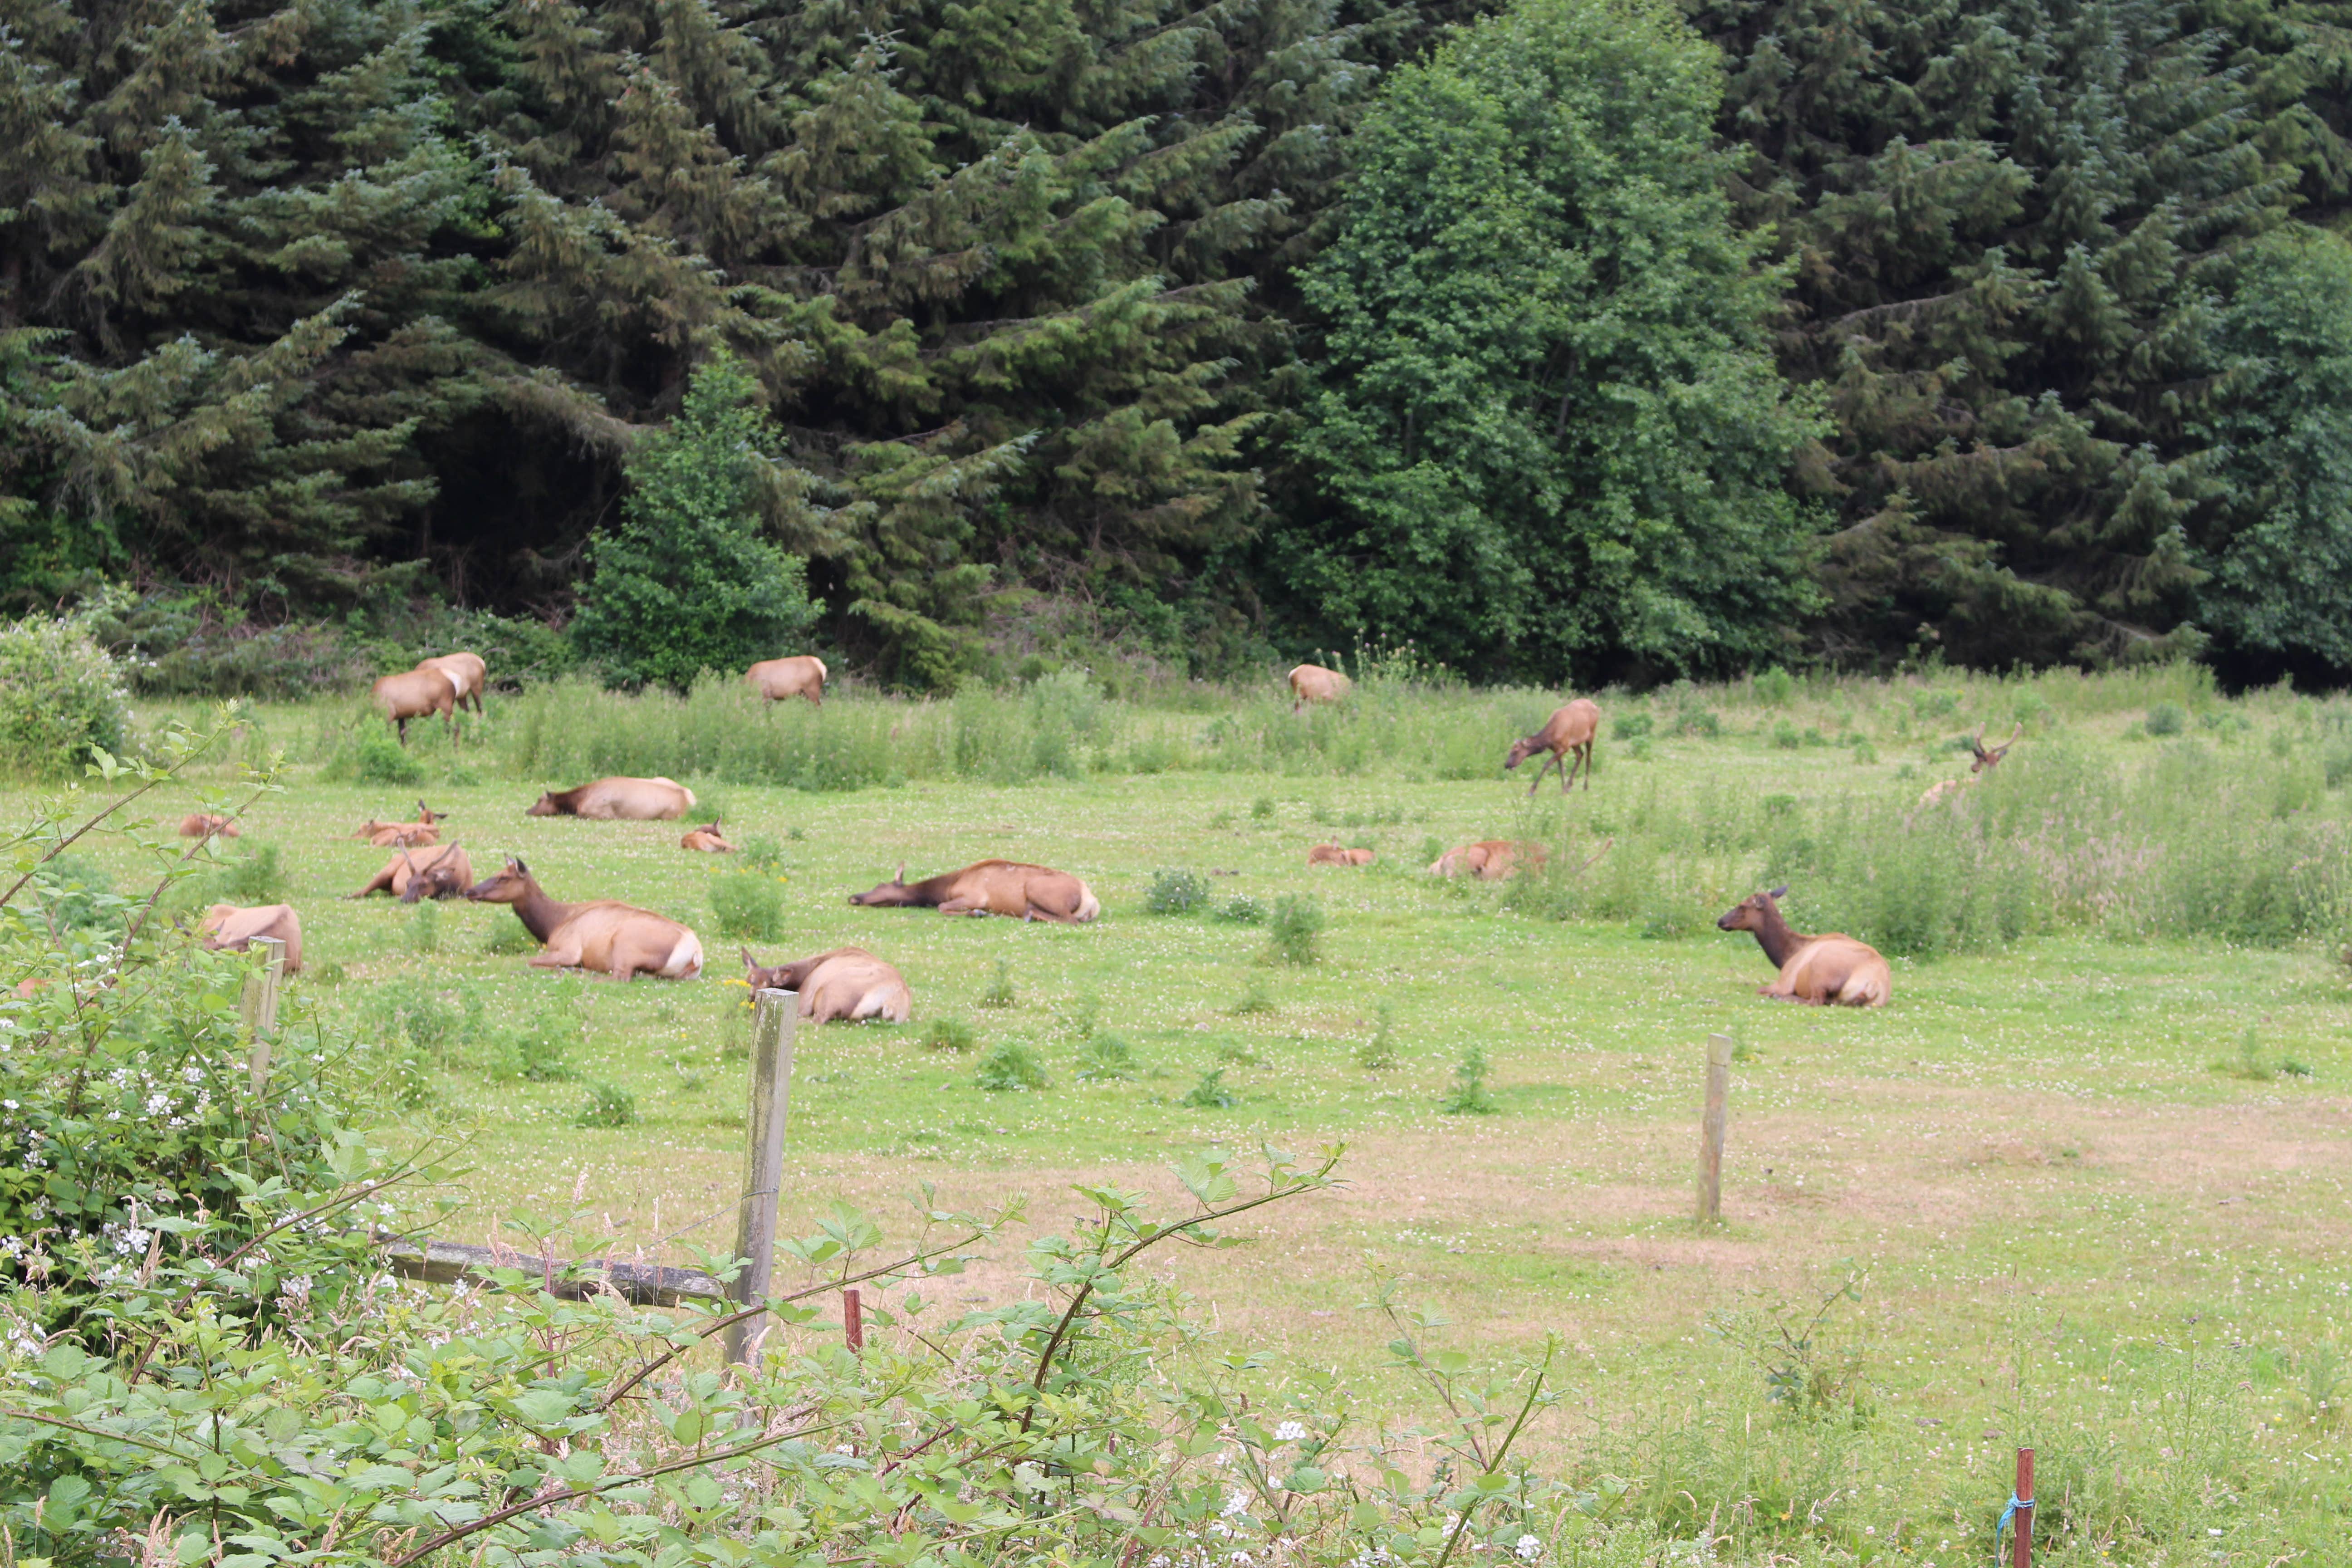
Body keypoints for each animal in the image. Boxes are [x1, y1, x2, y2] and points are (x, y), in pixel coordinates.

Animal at [371, 666, 460, 746]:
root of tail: (456, 680)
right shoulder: (401, 716)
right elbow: (402, 736)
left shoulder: (389, 714)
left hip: (444, 706)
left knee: (454, 728)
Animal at [465, 856, 704, 980]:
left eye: (504, 877)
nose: (470, 891)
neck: (553, 924)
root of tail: (695, 953)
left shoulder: (568, 949)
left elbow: (531, 961)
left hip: (625, 946)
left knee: (618, 977)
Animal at [740, 946, 911, 1023]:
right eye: (748, 980)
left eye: (766, 984)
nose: (750, 1000)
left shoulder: (804, 1001)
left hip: (833, 990)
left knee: (818, 1019)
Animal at [1504, 699, 1601, 794]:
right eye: (1510, 751)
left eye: (1515, 751)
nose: (1507, 765)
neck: (1550, 738)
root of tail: (1595, 706)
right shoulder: (1557, 749)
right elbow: (1561, 768)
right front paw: (1564, 789)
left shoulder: (1564, 748)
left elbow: (1547, 764)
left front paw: (1532, 790)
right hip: (1575, 743)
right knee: (1580, 754)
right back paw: (1569, 786)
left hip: (1591, 735)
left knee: (1588, 759)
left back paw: (1585, 787)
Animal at [1715, 885, 1890, 1007]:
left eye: (1742, 906)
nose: (1720, 921)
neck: (1786, 955)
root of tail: (1874, 984)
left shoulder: (1785, 980)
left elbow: (1760, 989)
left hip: (1821, 970)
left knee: (1815, 1001)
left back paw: (1779, 997)